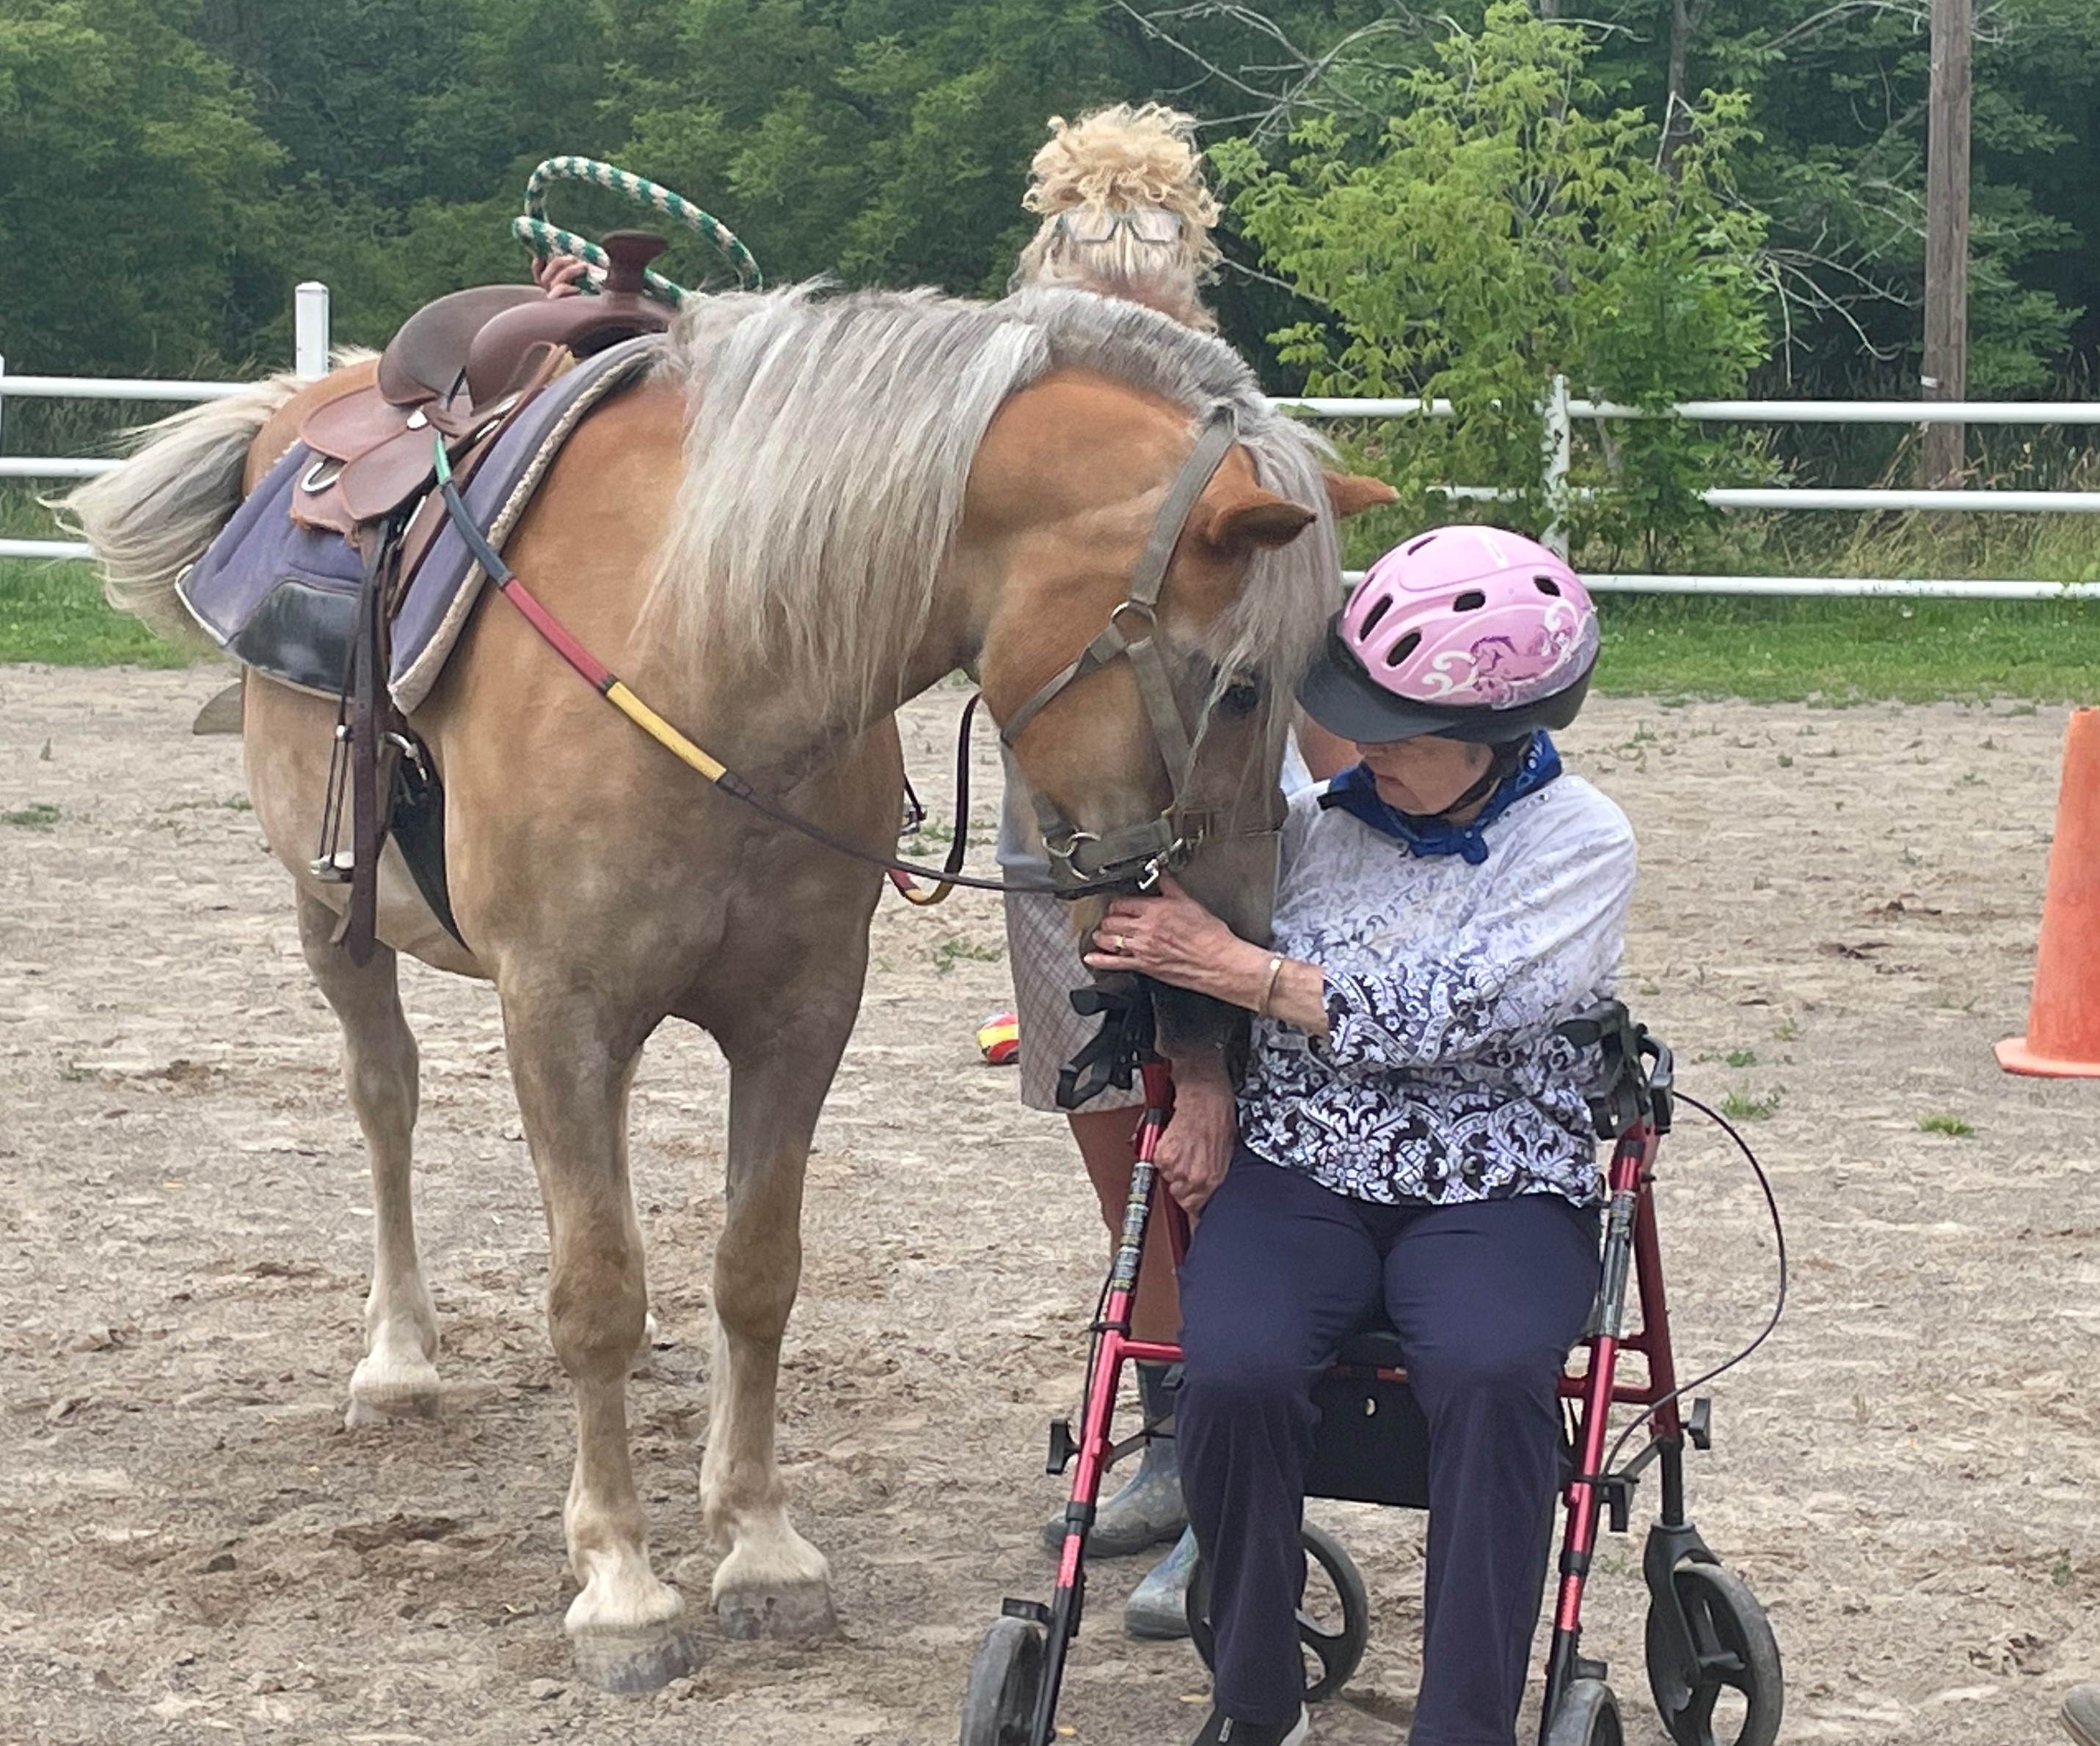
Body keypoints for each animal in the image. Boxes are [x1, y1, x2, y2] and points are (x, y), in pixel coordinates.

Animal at [67, 282, 1384, 1694]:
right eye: (1237, 686)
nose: (1232, 976)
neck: (707, 647)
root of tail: (317, 396)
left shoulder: (797, 1020)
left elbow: (753, 1273)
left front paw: (758, 1549)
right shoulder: (557, 1015)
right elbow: (592, 1293)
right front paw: (622, 1589)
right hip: (335, 924)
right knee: (387, 1103)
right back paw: (398, 1361)